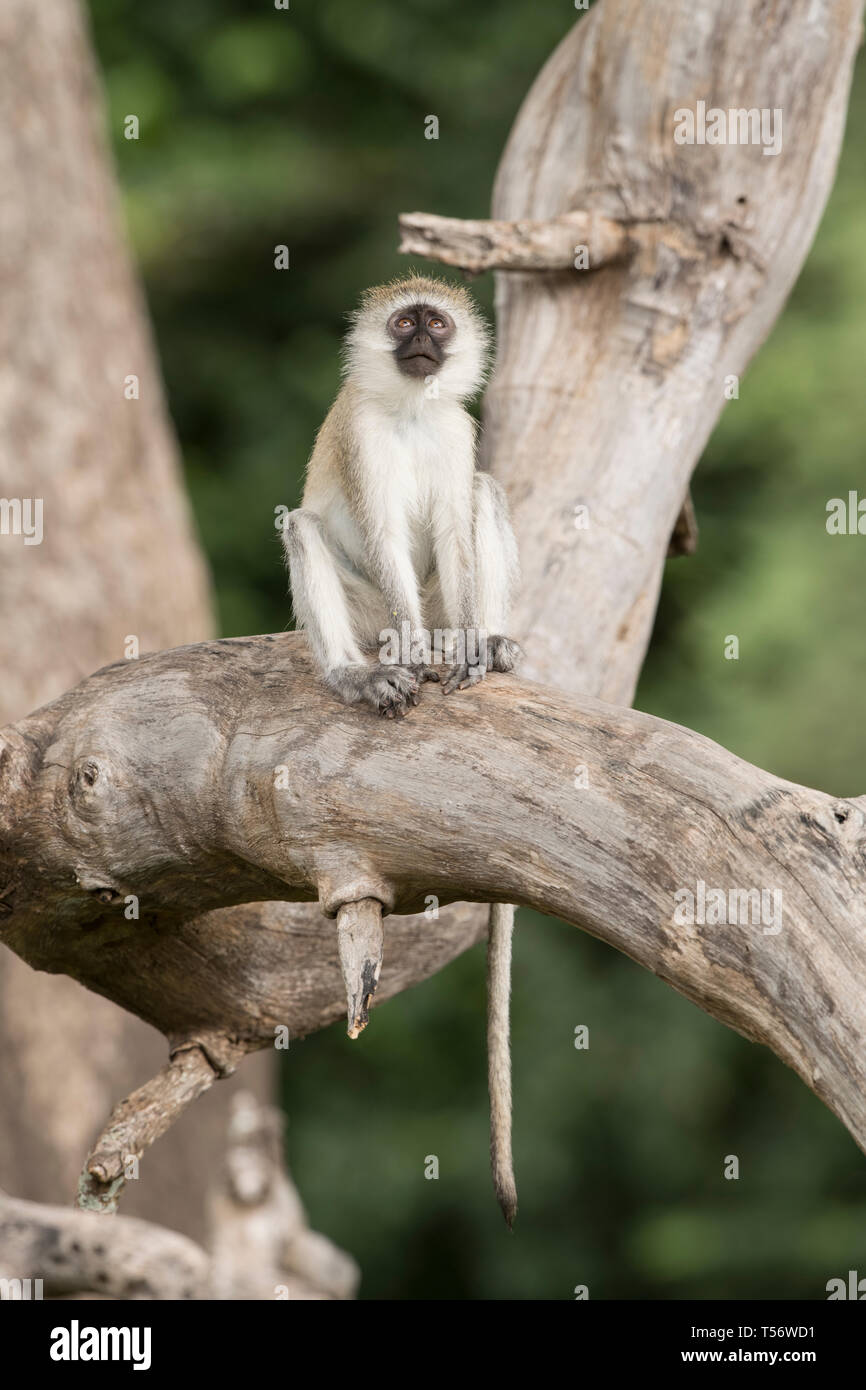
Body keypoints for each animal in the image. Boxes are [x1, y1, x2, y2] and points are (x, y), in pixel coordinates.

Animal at [282, 274, 521, 1226]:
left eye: (437, 323)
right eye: (404, 322)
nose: (421, 341)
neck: (415, 412)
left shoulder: (457, 433)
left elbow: (457, 523)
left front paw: (465, 654)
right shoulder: (360, 439)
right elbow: (379, 535)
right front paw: (414, 661)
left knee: (482, 495)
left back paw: (486, 646)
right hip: (366, 616)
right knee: (305, 528)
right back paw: (360, 675)